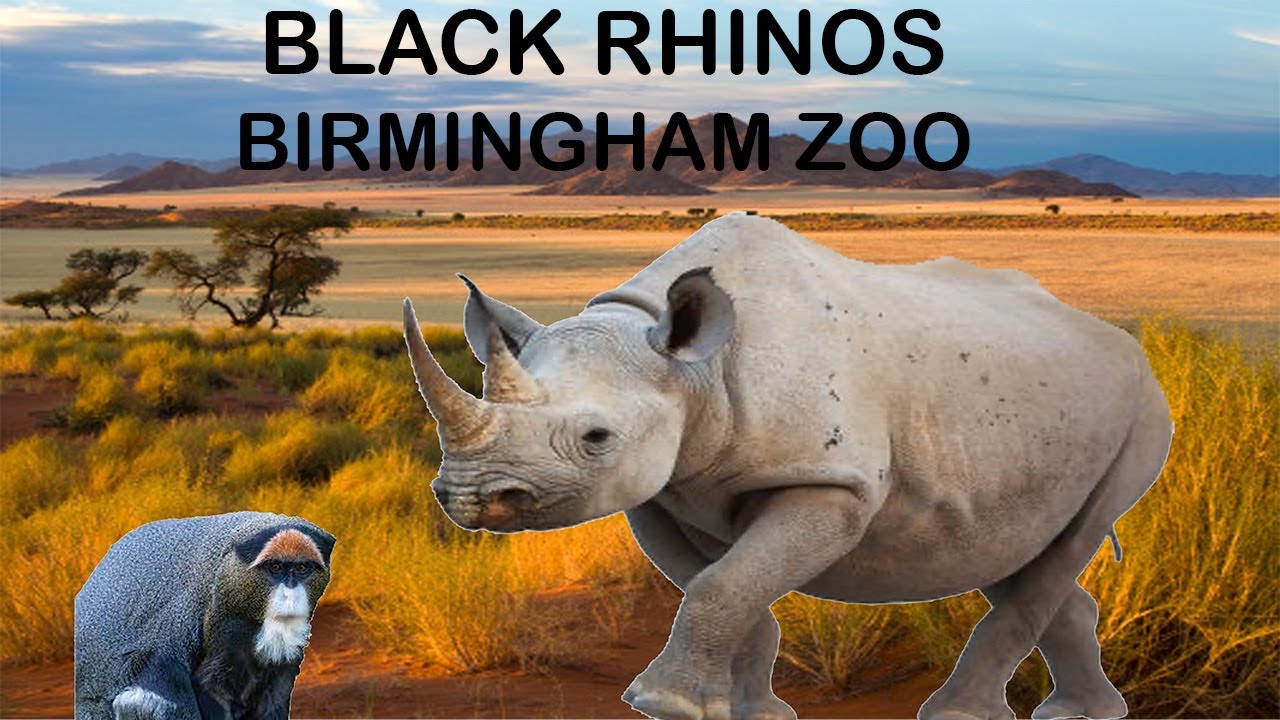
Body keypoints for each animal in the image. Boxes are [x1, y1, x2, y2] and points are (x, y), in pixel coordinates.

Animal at [401, 213, 1172, 720]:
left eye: (596, 437)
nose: (470, 497)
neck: (691, 366)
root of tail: (1124, 341)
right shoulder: (663, 490)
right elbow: (727, 586)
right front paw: (748, 712)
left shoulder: (831, 483)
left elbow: (723, 585)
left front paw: (660, 702)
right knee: (1015, 549)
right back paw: (1085, 715)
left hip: (1143, 409)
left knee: (1074, 536)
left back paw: (959, 715)